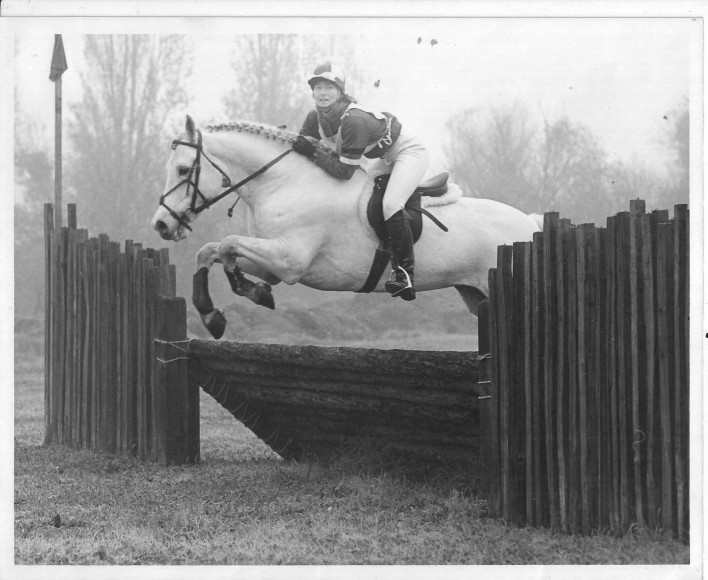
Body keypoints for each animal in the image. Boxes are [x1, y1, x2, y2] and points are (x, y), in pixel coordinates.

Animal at [151, 115, 542, 339]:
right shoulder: (273, 260)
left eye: (184, 170)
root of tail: (530, 223)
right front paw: (221, 310)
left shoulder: (290, 261)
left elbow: (228, 242)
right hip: (477, 296)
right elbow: (213, 251)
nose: (161, 224)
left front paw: (236, 298)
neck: (284, 181)